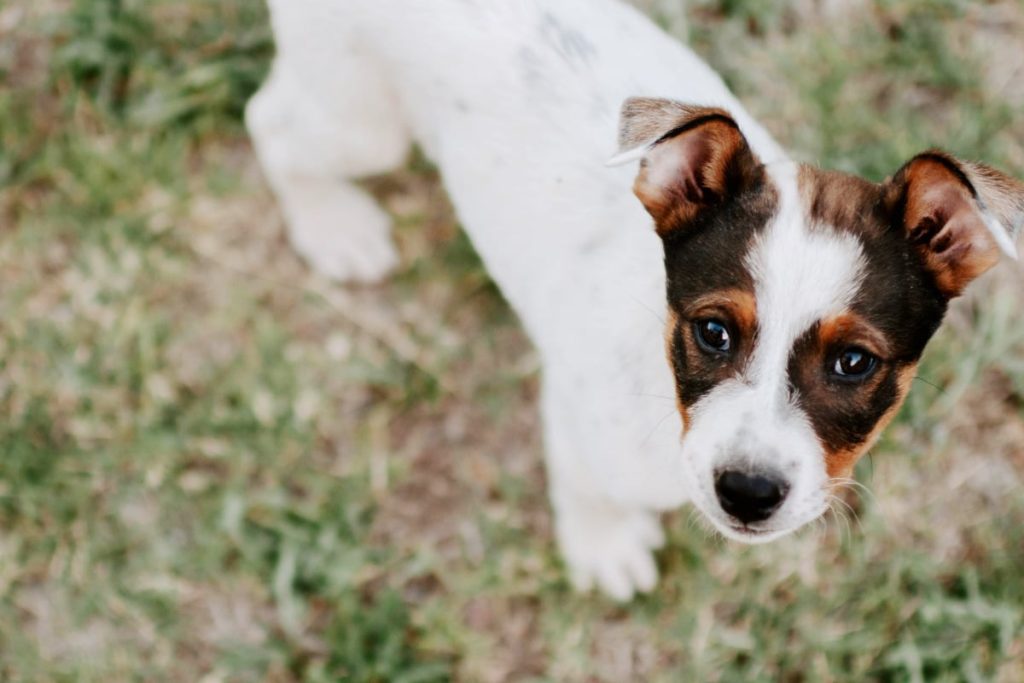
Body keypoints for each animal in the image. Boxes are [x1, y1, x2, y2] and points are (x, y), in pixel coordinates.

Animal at [247, 0, 1024, 598]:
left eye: (856, 363)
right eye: (713, 331)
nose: (747, 493)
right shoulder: (576, 408)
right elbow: (585, 483)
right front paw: (603, 545)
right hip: (358, 119)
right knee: (270, 123)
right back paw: (333, 226)